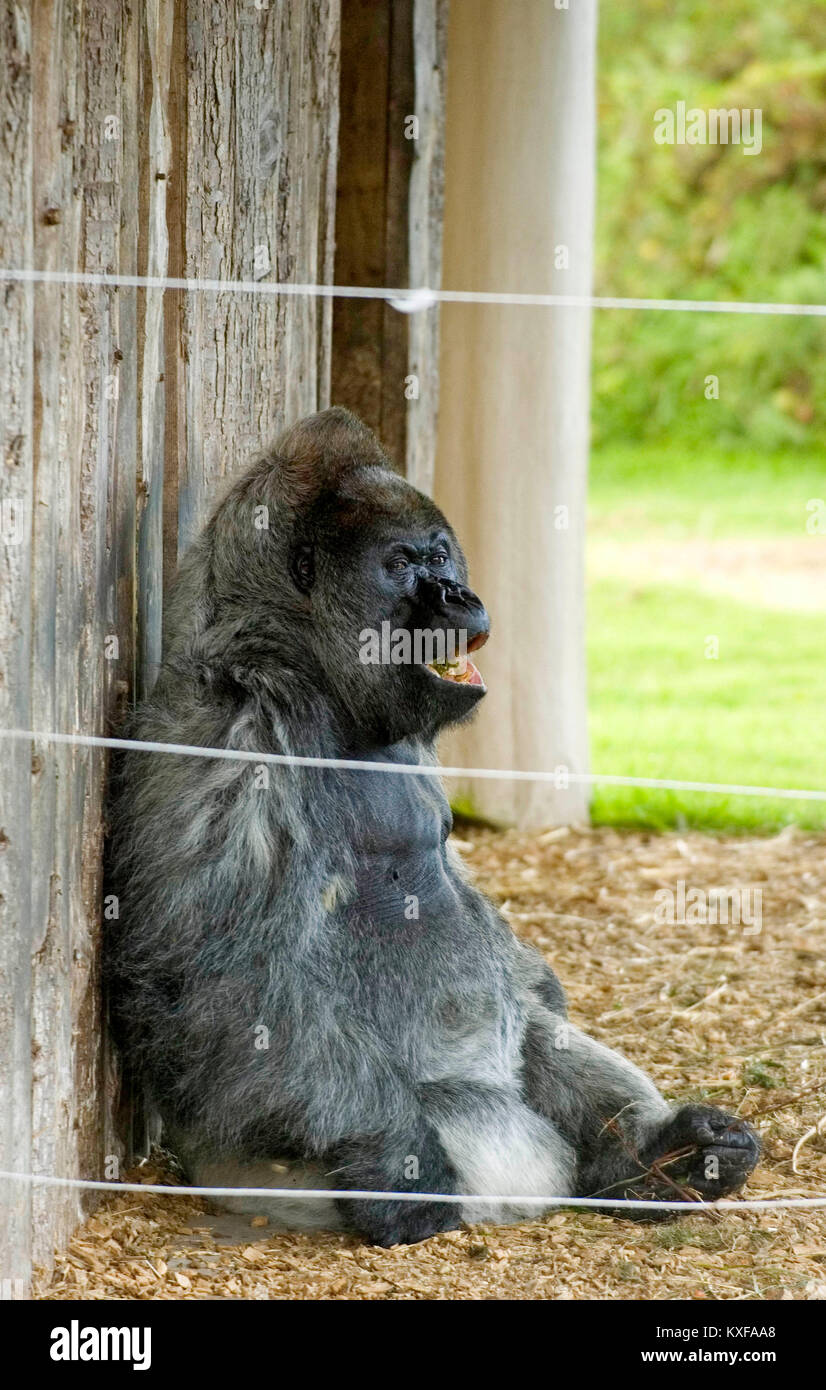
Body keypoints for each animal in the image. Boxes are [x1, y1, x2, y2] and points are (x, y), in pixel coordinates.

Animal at [106, 407, 759, 1246]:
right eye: (400, 564)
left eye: (439, 554)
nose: (456, 592)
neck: (295, 648)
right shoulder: (237, 731)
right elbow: (219, 977)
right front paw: (397, 1165)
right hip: (268, 1173)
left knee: (538, 1036)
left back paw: (659, 1156)